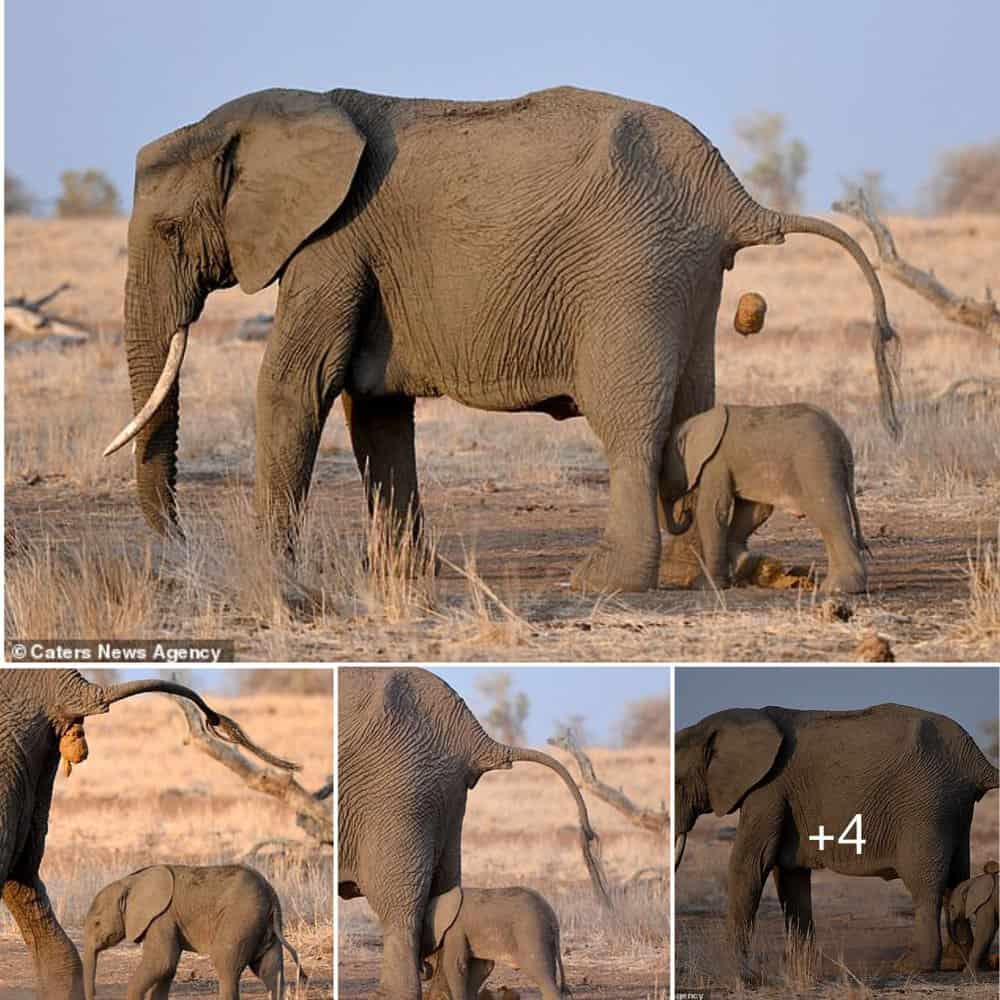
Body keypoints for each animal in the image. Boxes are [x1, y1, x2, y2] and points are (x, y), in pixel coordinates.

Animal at [83, 864, 306, 1000]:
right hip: (264, 924)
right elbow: (167, 968)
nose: (93, 993)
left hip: (241, 918)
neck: (131, 882)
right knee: (269, 968)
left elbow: (161, 962)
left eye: (96, 923)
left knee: (226, 964)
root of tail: (271, 893)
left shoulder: (160, 918)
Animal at [421, 886, 567, 1000]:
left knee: (540, 973)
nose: (425, 967)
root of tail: (552, 916)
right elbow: (481, 968)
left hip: (531, 935)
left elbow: (455, 965)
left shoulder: (455, 930)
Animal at [661, 403, 867, 593]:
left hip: (816, 464)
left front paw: (705, 586)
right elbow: (756, 511)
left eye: (661, 471)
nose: (685, 512)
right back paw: (833, 586)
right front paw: (745, 565)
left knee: (829, 516)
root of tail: (842, 439)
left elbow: (712, 510)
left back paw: (841, 588)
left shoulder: (715, 462)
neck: (696, 423)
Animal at [673, 703, 999, 976]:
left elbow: (750, 863)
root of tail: (975, 758)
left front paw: (734, 971)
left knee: (925, 886)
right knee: (956, 879)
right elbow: (790, 876)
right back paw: (956, 963)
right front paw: (800, 968)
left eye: (677, 781)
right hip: (953, 809)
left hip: (925, 805)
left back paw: (914, 966)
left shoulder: (767, 790)